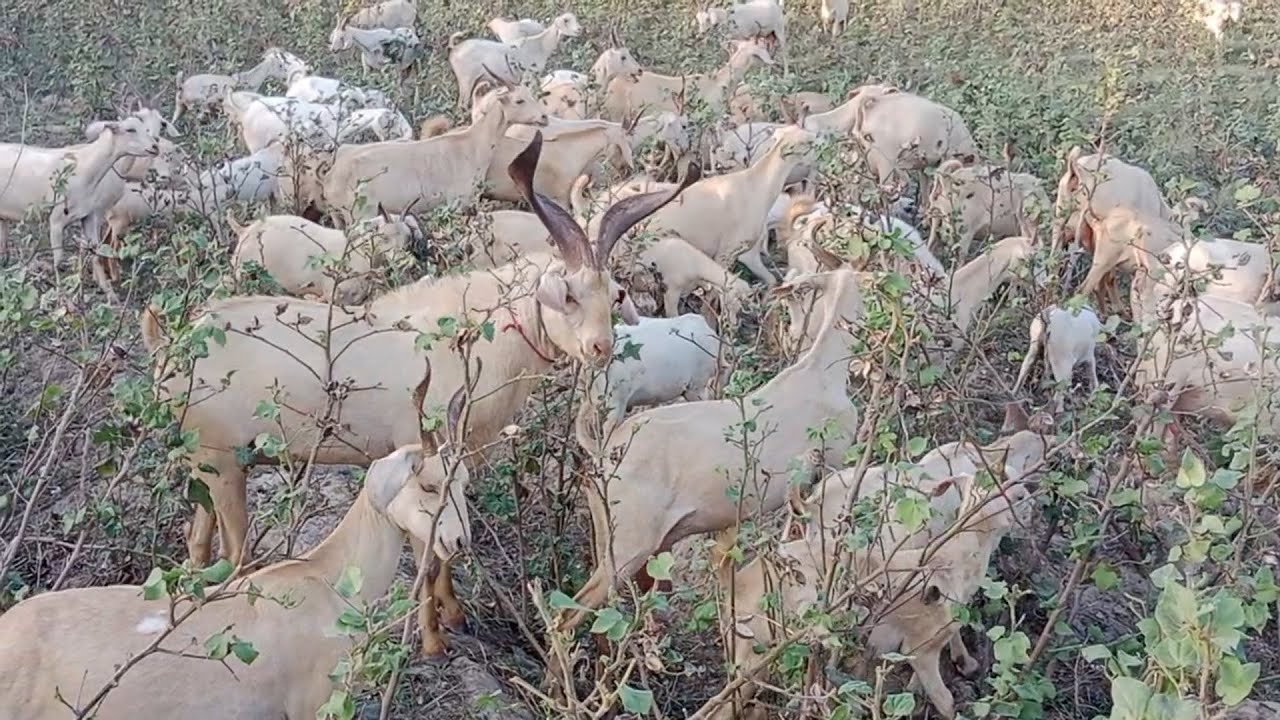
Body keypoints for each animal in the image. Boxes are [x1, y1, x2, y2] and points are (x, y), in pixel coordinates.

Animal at [141, 133, 697, 654]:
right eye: (567, 295)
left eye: (614, 295)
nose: (600, 347)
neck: (465, 337)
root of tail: (171, 343)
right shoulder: (419, 452)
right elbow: (429, 554)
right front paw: (432, 640)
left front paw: (453, 614)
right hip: (221, 464)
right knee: (234, 553)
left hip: (209, 465)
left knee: (197, 539)